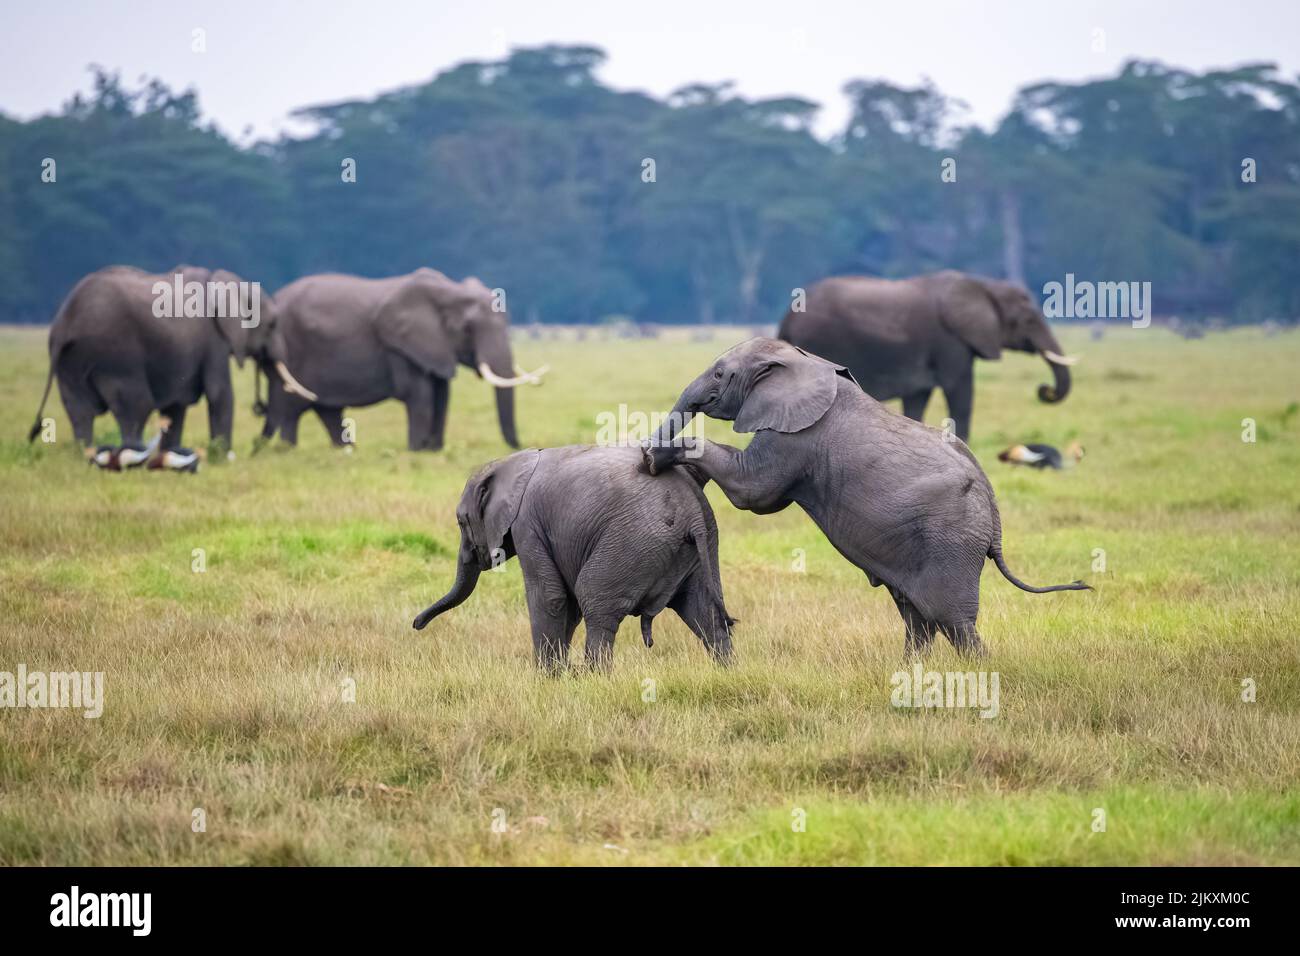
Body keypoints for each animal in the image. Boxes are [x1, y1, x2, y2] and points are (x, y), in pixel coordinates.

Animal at [27, 265, 309, 455]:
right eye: (272, 324)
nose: (259, 407)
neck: (224, 282)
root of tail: (65, 322)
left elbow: (176, 406)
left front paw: (174, 454)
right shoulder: (213, 339)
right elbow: (220, 394)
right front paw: (223, 457)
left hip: (72, 359)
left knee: (79, 411)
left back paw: (84, 455)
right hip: (114, 352)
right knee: (135, 406)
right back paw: (132, 456)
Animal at [263, 269, 547, 451]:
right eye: (467, 328)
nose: (521, 446)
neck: (449, 291)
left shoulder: (436, 347)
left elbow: (442, 394)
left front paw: (433, 449)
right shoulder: (401, 346)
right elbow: (420, 394)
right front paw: (417, 449)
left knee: (327, 411)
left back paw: (345, 450)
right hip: (293, 353)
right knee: (293, 406)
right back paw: (287, 449)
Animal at [412, 444, 735, 670]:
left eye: (461, 521)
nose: (417, 625)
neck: (511, 464)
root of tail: (692, 513)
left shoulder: (527, 524)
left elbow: (551, 596)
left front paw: (548, 679)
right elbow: (567, 604)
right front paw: (560, 673)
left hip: (634, 542)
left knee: (595, 603)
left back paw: (595, 677)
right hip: (699, 545)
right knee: (706, 613)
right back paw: (726, 673)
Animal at [643, 338, 1088, 657]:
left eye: (720, 374)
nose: (647, 451)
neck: (806, 361)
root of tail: (995, 525)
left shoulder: (797, 436)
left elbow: (753, 492)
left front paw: (656, 458)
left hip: (952, 541)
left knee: (952, 620)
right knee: (917, 617)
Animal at [778, 271, 1080, 441]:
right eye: (1028, 320)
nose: (1045, 390)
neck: (985, 285)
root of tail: (788, 318)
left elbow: (917, 398)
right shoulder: (950, 340)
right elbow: (960, 388)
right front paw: (963, 442)